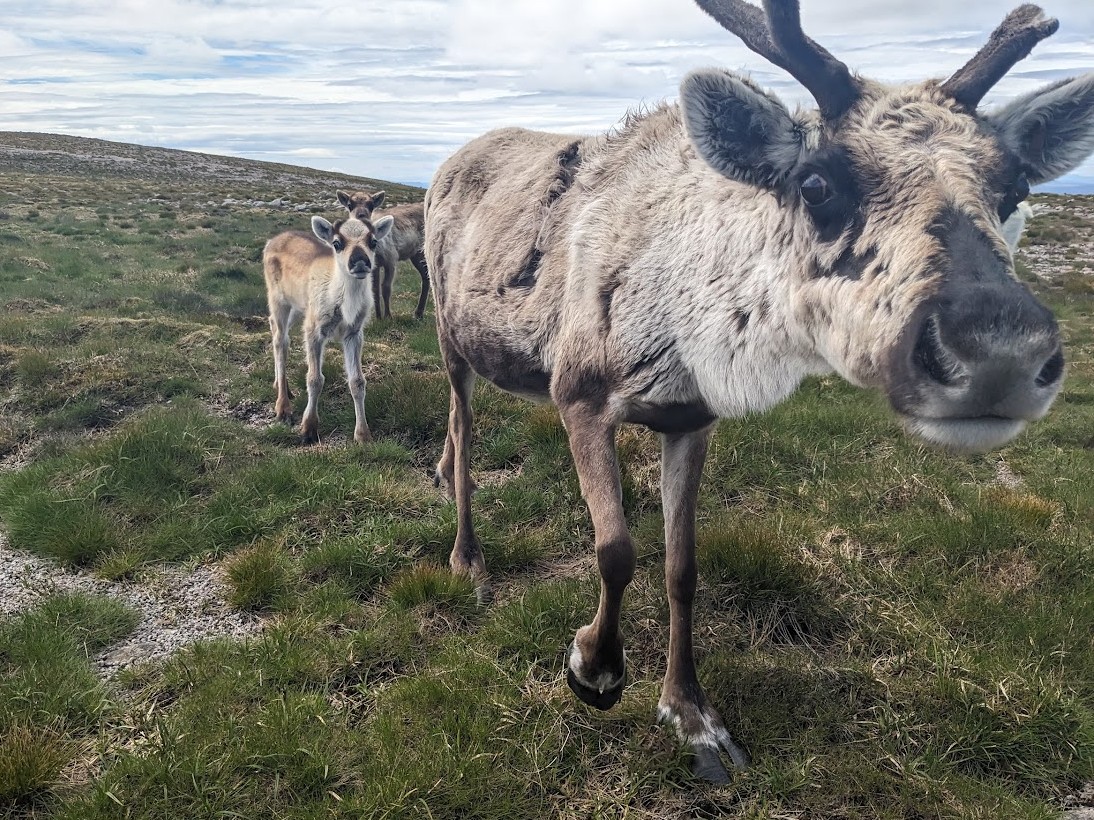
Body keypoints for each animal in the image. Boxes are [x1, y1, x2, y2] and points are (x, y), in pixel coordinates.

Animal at [263, 214, 394, 444]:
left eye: (373, 241)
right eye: (337, 243)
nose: (360, 261)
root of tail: (271, 241)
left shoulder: (354, 333)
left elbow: (357, 381)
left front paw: (363, 434)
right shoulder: (314, 329)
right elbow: (315, 379)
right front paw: (308, 428)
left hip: (298, 306)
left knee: (274, 327)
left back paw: (280, 385)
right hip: (278, 298)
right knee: (281, 340)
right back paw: (283, 407)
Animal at [337, 190, 430, 321]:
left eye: (371, 205)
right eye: (349, 205)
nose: (361, 215)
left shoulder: (390, 259)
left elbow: (386, 288)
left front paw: (388, 316)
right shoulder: (373, 266)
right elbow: (375, 289)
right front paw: (378, 317)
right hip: (415, 254)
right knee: (425, 276)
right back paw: (418, 313)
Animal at [423, 0, 1094, 784]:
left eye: (1014, 190)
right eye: (816, 185)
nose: (1000, 352)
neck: (684, 316)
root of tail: (450, 160)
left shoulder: (690, 419)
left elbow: (681, 566)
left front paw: (692, 715)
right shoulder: (579, 396)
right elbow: (616, 549)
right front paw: (594, 667)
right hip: (452, 337)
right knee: (462, 430)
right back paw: (467, 558)